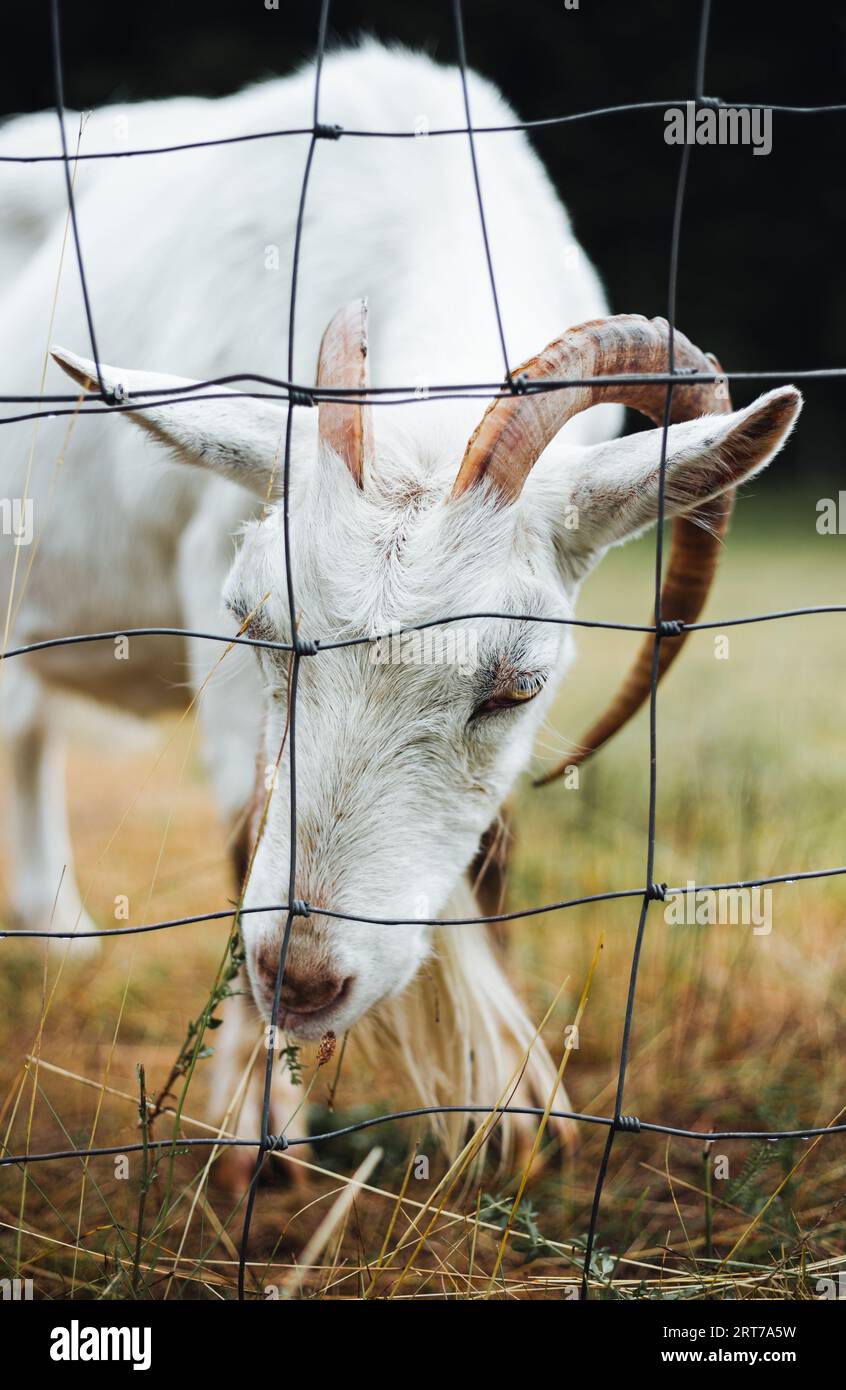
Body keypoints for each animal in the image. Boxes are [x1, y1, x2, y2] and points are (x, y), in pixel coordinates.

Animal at [0, 42, 801, 1172]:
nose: (300, 979)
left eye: (517, 686)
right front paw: (255, 1124)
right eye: (257, 627)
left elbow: (496, 849)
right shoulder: (209, 568)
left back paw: (55, 930)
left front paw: (511, 1110)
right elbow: (247, 827)